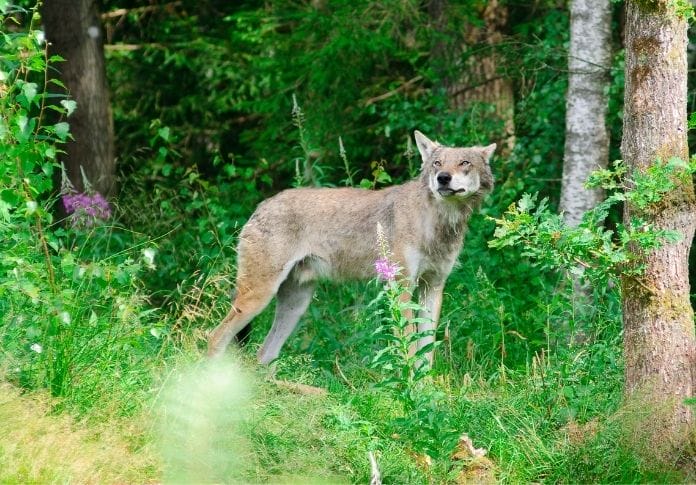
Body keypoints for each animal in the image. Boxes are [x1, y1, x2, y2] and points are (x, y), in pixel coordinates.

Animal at [207, 131, 495, 366]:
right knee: (214, 338)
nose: (443, 178)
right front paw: (410, 390)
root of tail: (261, 206)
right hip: (258, 298)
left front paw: (426, 392)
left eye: (464, 163)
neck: (436, 221)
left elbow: (426, 353)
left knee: (264, 354)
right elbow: (410, 350)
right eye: (437, 163)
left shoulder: (433, 287)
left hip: (295, 304)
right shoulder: (401, 286)